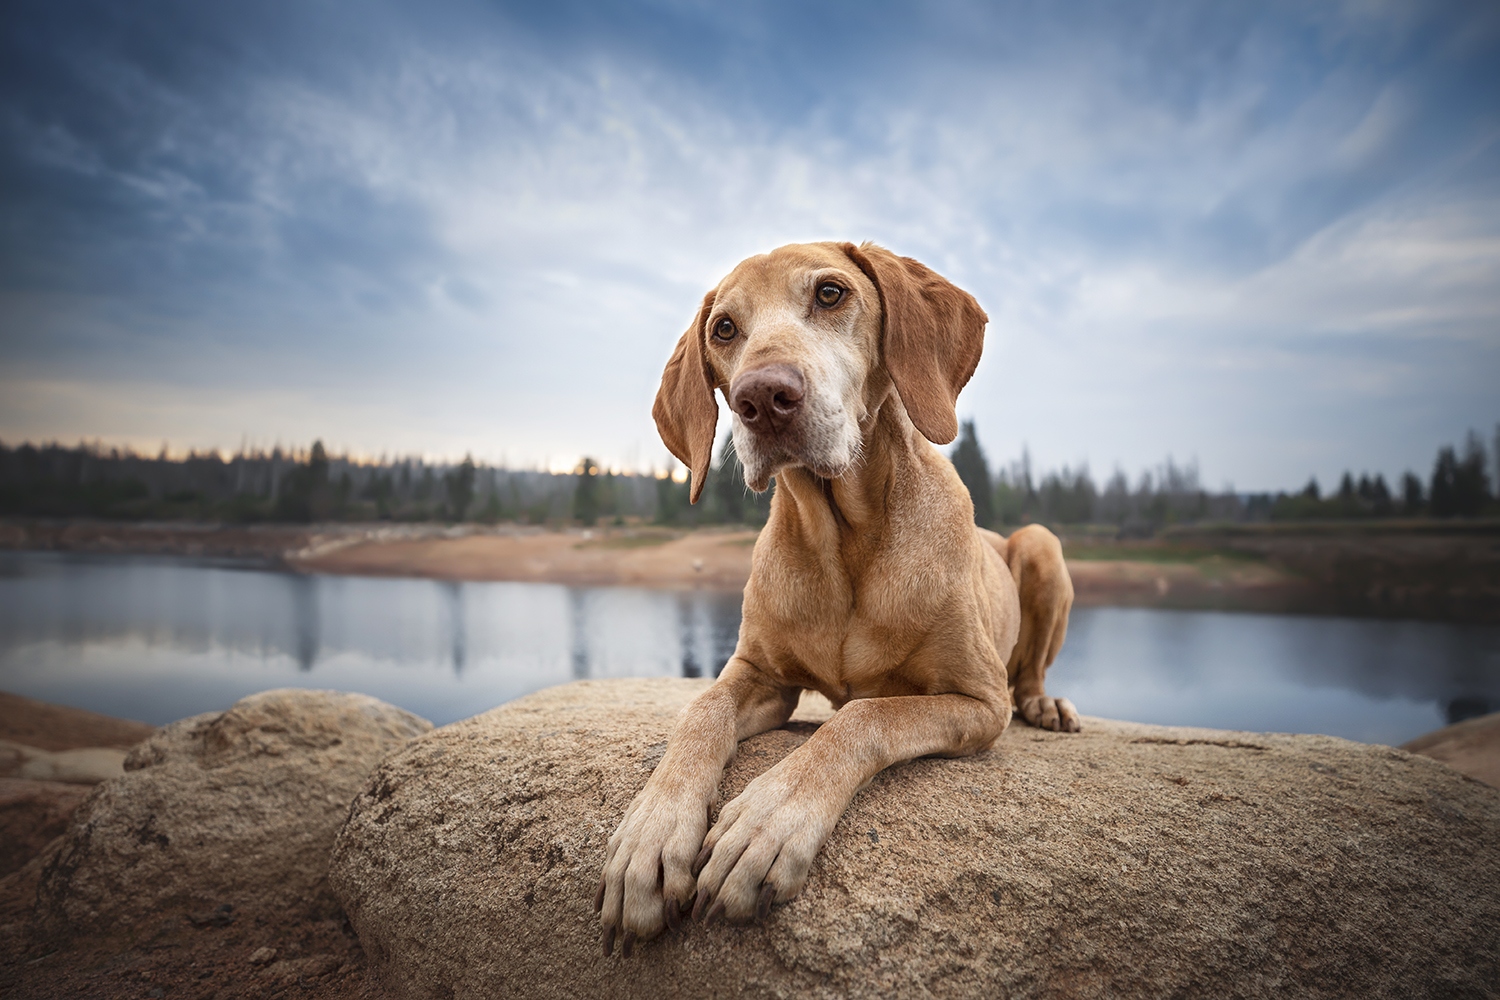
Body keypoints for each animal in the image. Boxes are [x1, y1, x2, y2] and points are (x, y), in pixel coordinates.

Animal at [591, 239, 1074, 953]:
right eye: (724, 329)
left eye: (829, 293)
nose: (762, 397)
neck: (843, 538)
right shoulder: (758, 672)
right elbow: (701, 711)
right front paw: (649, 833)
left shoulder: (982, 701)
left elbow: (862, 716)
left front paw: (771, 818)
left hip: (1042, 545)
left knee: (1032, 670)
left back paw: (1048, 705)